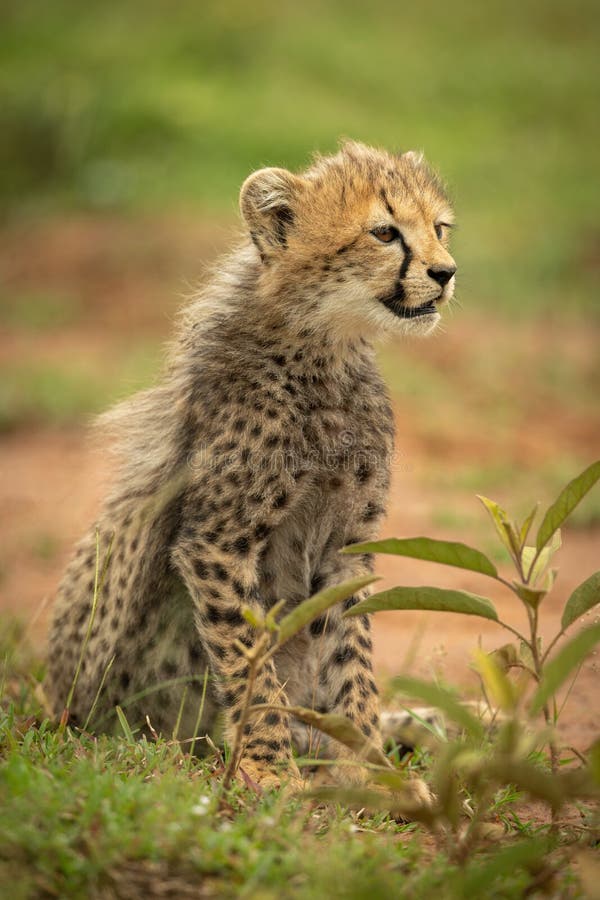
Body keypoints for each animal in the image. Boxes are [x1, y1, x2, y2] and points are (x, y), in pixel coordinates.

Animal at [46, 140, 456, 790]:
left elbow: (354, 660)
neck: (325, 351)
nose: (445, 273)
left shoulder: (347, 547)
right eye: (385, 232)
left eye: (439, 229)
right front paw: (268, 768)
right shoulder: (216, 544)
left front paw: (370, 769)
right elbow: (248, 655)